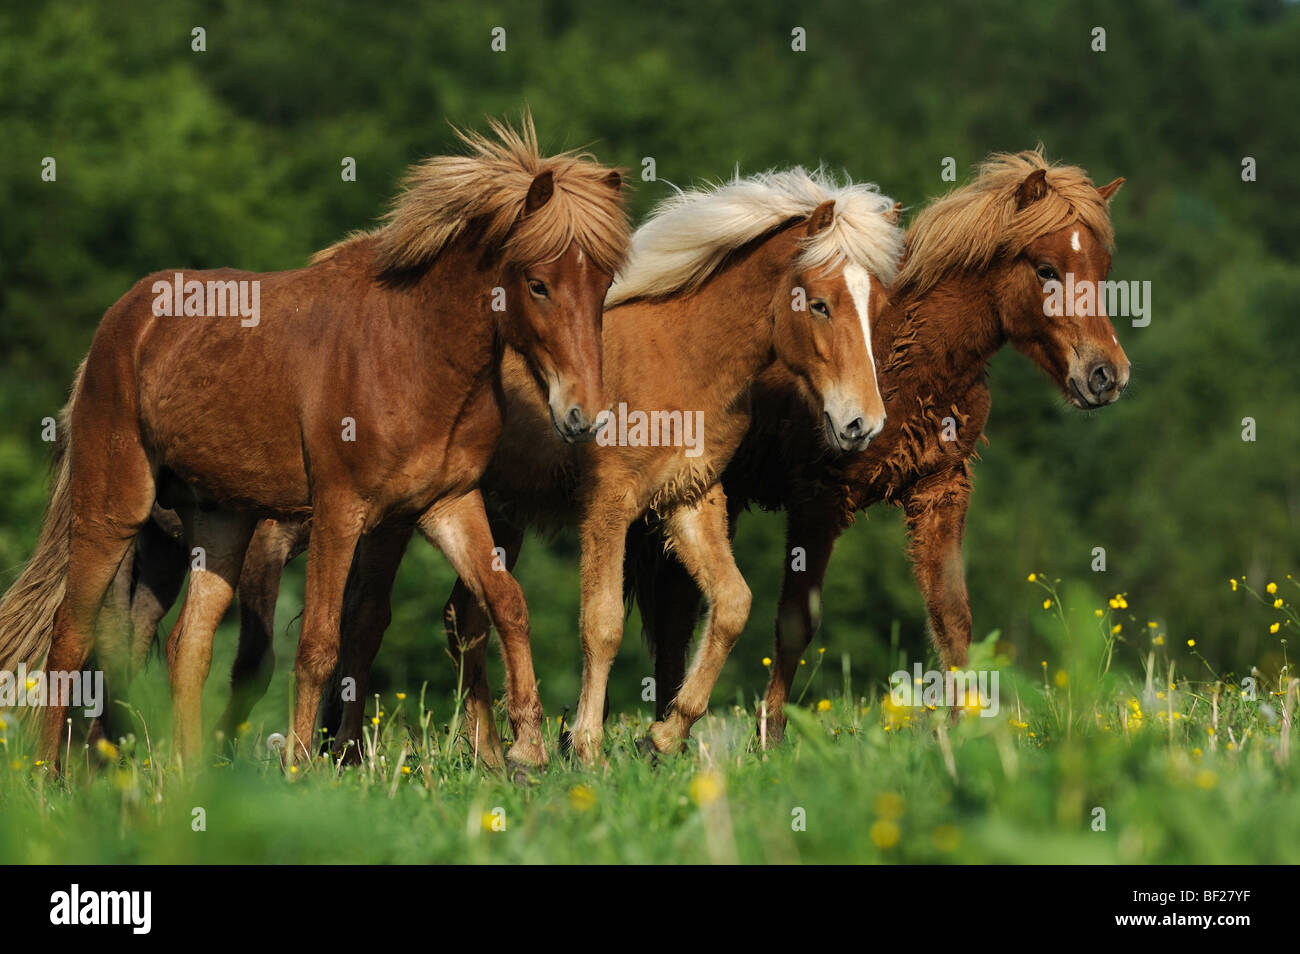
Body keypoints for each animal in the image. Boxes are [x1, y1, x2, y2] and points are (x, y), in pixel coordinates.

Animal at [0, 114, 630, 771]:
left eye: (603, 283)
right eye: (538, 284)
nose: (582, 415)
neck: (411, 352)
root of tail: (120, 325)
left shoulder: (443, 506)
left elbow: (505, 602)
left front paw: (527, 749)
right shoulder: (338, 511)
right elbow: (320, 642)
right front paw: (302, 763)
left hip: (220, 526)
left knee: (186, 645)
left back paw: (189, 775)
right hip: (113, 513)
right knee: (70, 638)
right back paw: (48, 777)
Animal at [635, 150, 1129, 741]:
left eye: (1103, 271)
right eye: (1047, 269)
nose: (1107, 375)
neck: (907, 357)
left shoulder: (940, 490)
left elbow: (952, 618)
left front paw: (962, 736)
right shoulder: (819, 502)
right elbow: (796, 621)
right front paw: (769, 737)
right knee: (676, 611)